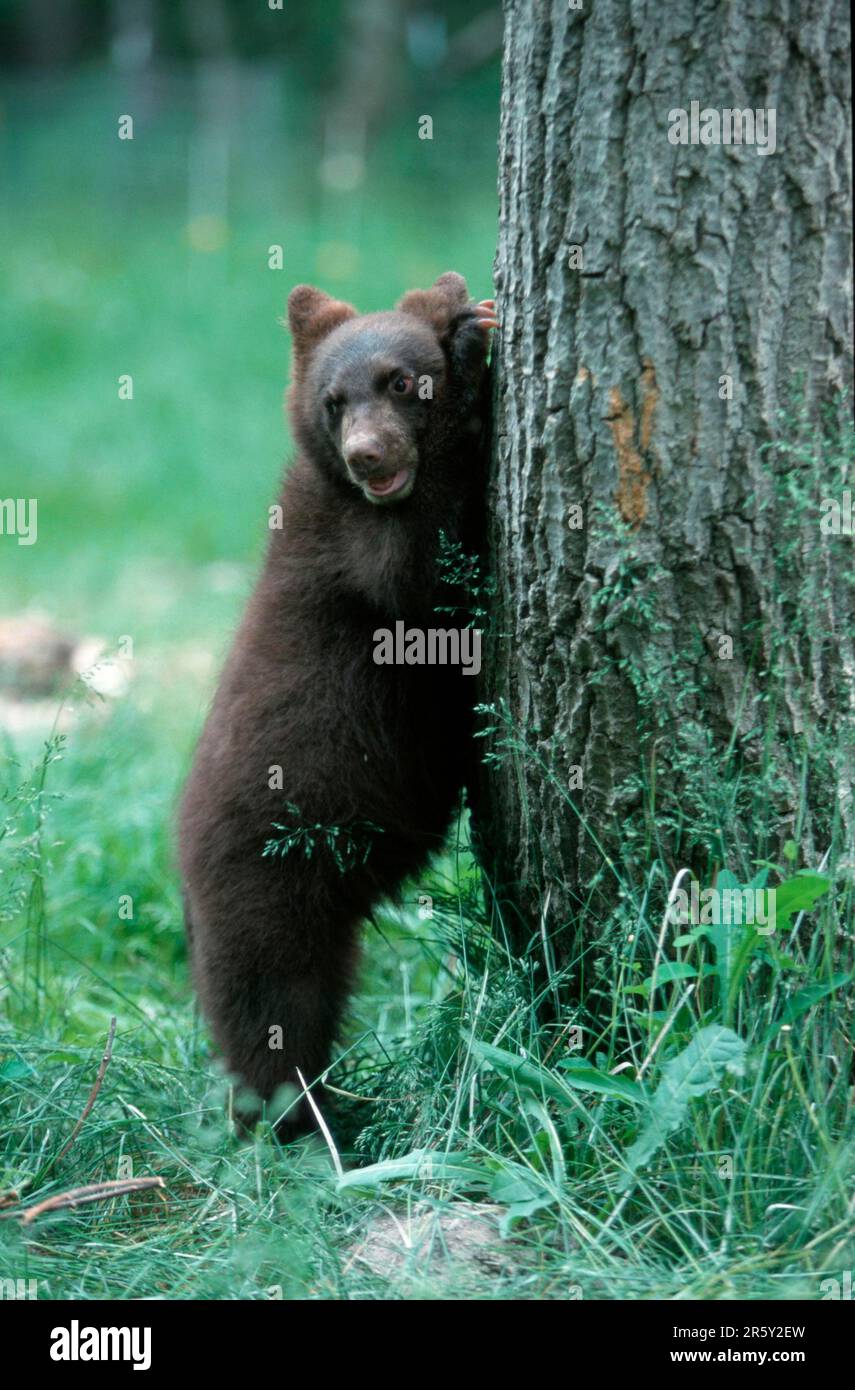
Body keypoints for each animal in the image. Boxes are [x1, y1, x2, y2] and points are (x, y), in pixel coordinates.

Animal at [178, 271, 496, 1137]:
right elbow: (420, 573)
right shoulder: (354, 555)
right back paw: (300, 1122)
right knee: (271, 1012)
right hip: (264, 889)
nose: (368, 454)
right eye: (333, 399)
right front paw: (470, 350)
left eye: (399, 383)